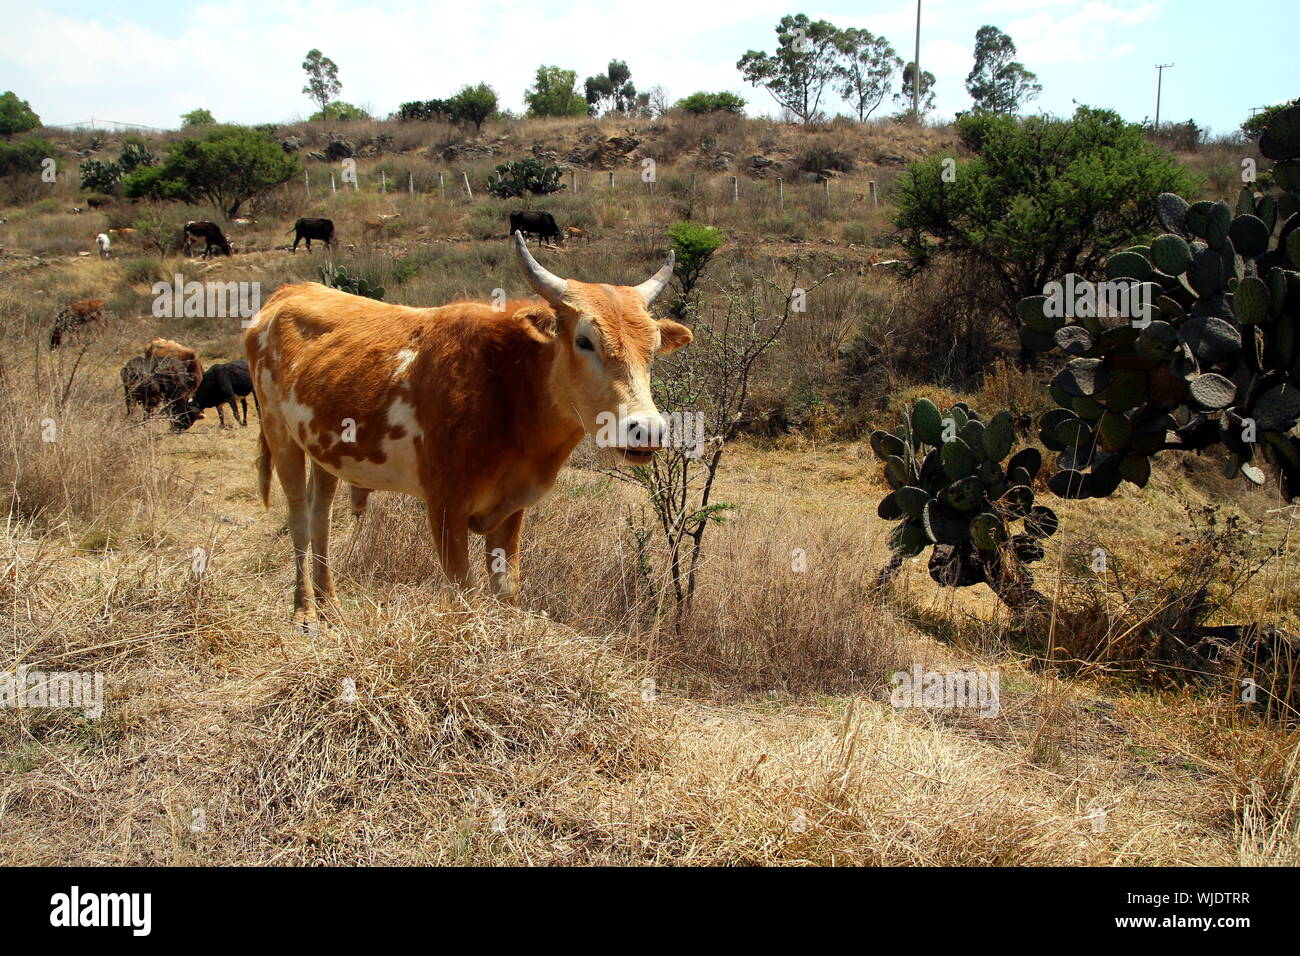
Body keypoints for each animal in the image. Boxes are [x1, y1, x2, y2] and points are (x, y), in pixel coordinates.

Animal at [244, 231, 690, 627]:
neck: (506, 389)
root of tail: (289, 292)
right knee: (299, 518)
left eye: (652, 349)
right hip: (279, 434)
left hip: (326, 449)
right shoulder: (445, 505)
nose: (647, 430)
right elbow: (464, 594)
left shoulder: (511, 509)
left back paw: (330, 606)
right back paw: (304, 612)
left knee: (320, 515)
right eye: (585, 341)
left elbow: (506, 590)